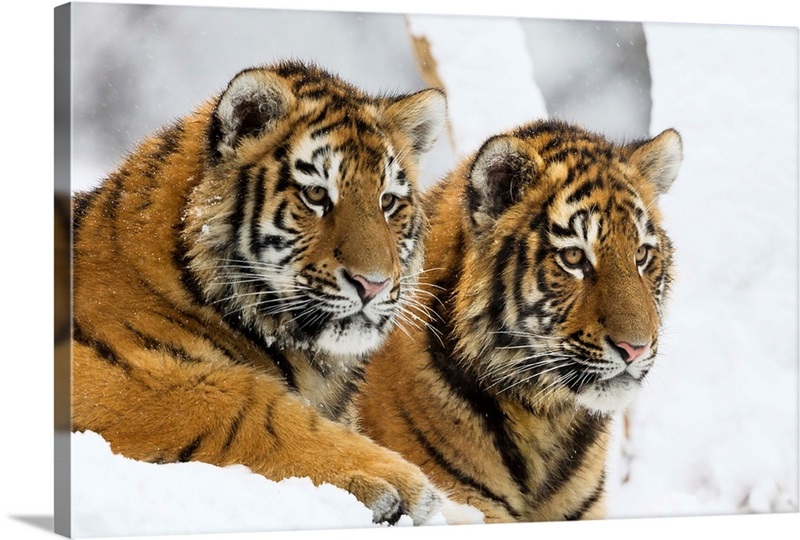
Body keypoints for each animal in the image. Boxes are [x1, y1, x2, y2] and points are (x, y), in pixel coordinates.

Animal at [70, 61, 448, 525]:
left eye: (388, 201)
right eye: (316, 194)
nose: (373, 284)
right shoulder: (110, 369)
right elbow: (244, 405)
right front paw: (400, 481)